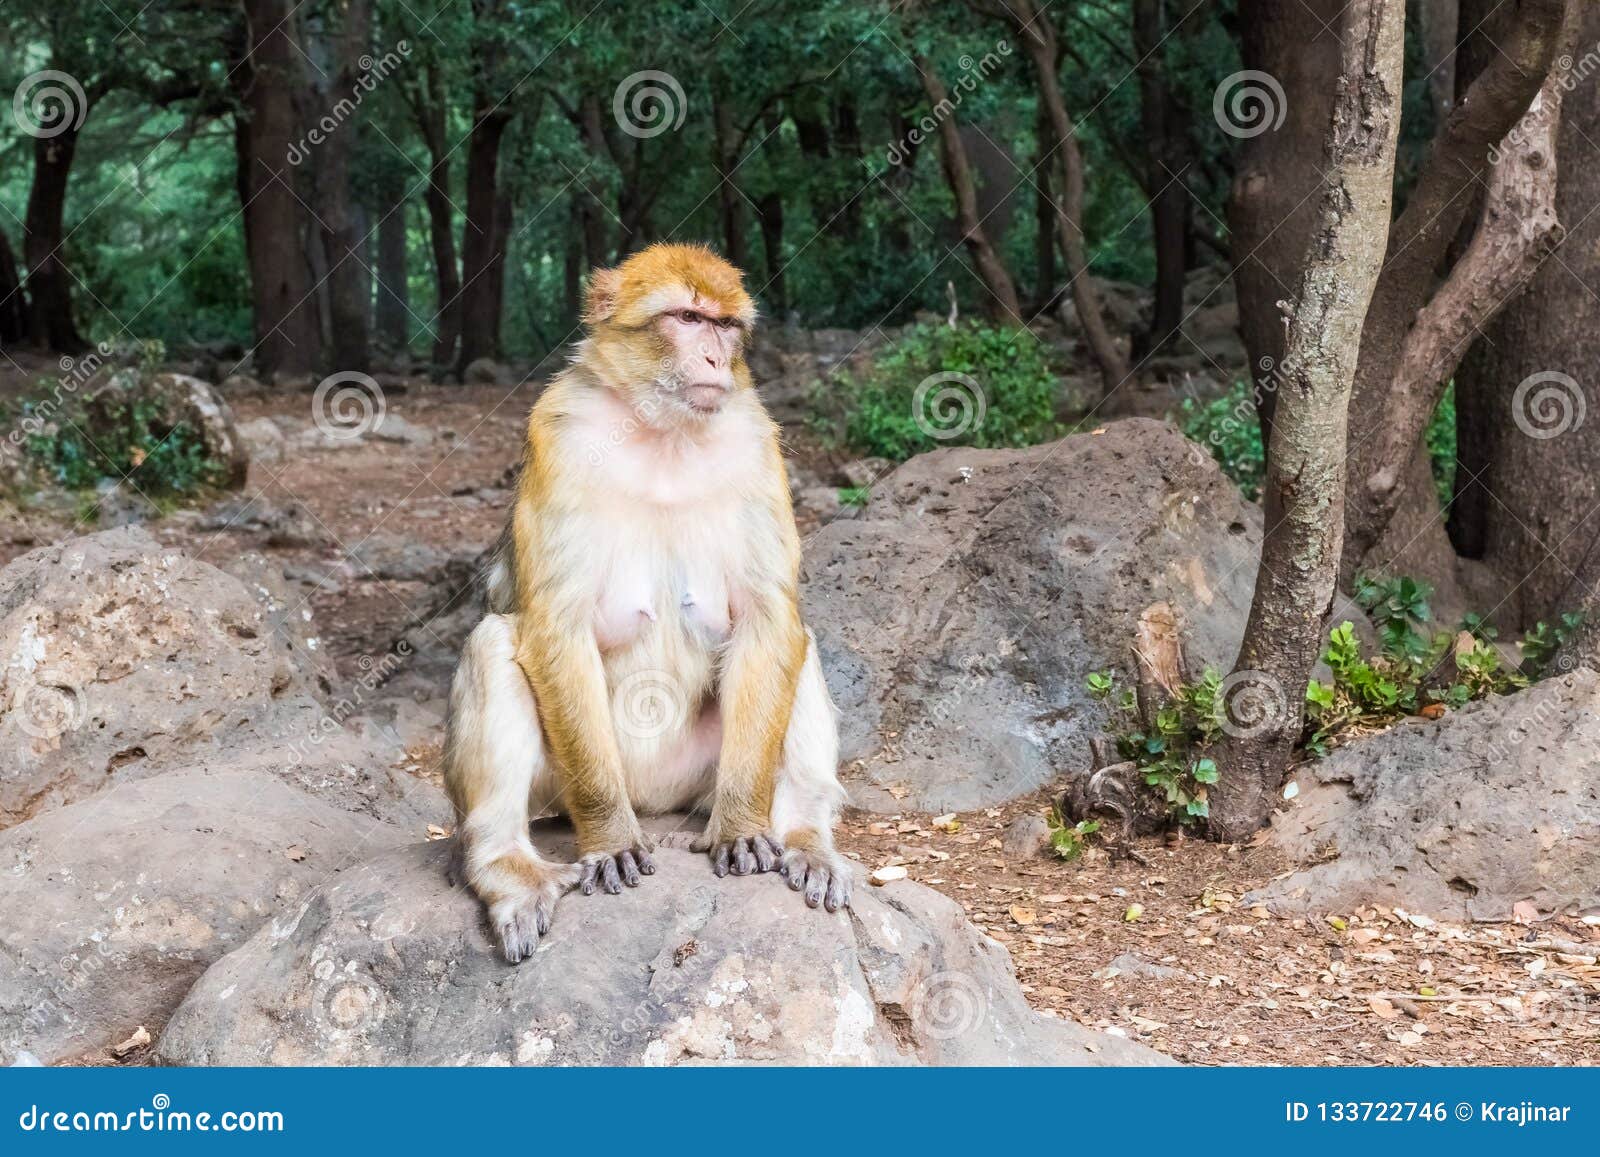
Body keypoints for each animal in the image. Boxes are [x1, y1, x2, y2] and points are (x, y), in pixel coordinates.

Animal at [444, 243, 852, 963]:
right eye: (687, 319)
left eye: (725, 326)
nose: (715, 359)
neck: (663, 433)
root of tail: (657, 799)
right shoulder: (557, 435)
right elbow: (554, 628)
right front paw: (609, 840)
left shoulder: (757, 446)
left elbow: (770, 620)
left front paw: (742, 828)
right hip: (560, 787)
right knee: (492, 641)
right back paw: (508, 869)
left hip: (700, 776)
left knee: (800, 647)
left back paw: (806, 839)